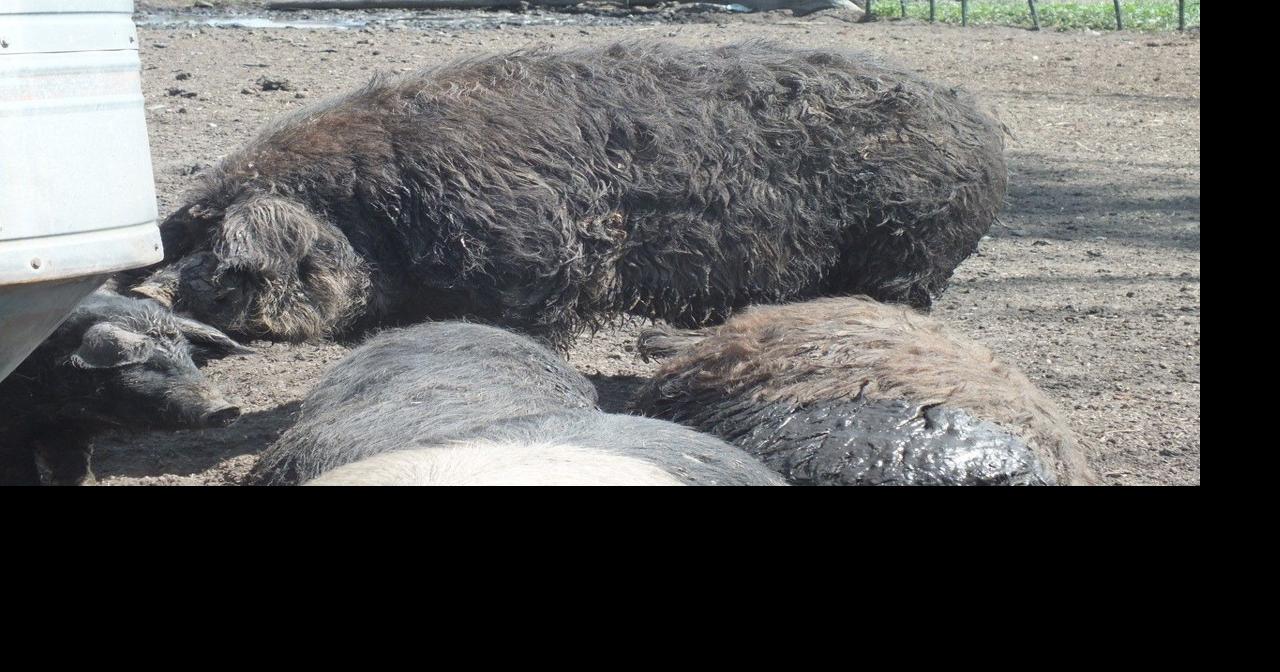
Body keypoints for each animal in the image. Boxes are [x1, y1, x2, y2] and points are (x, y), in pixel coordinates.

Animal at [0, 289, 251, 485]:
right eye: (149, 363)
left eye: (188, 357)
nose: (227, 409)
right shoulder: (12, 427)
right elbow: (16, 467)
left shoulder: (69, 426)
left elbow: (74, 462)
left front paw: (87, 482)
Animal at [129, 41, 1007, 347]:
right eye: (194, 241)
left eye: (234, 258)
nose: (187, 293)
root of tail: (978, 123)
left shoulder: (538, 256)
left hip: (907, 246)